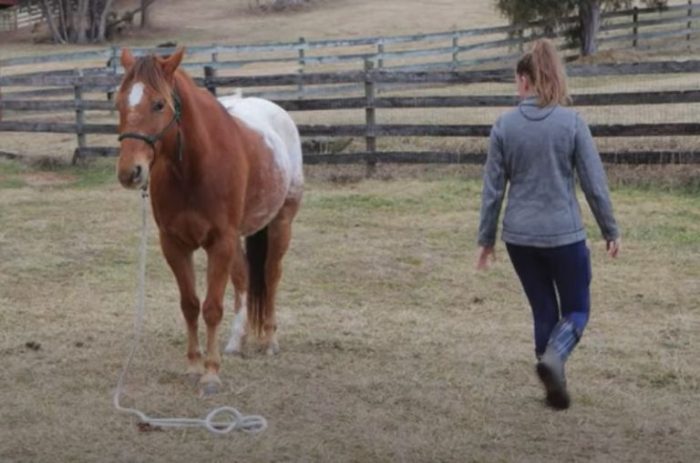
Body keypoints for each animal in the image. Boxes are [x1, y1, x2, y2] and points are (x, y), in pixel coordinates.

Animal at [113, 49, 302, 394]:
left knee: (270, 277)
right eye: (119, 103)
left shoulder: (220, 242)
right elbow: (189, 304)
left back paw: (269, 340)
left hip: (281, 224)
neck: (194, 168)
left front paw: (211, 373)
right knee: (243, 280)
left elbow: (212, 308)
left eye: (158, 104)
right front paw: (192, 365)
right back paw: (237, 341)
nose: (129, 172)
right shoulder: (174, 244)